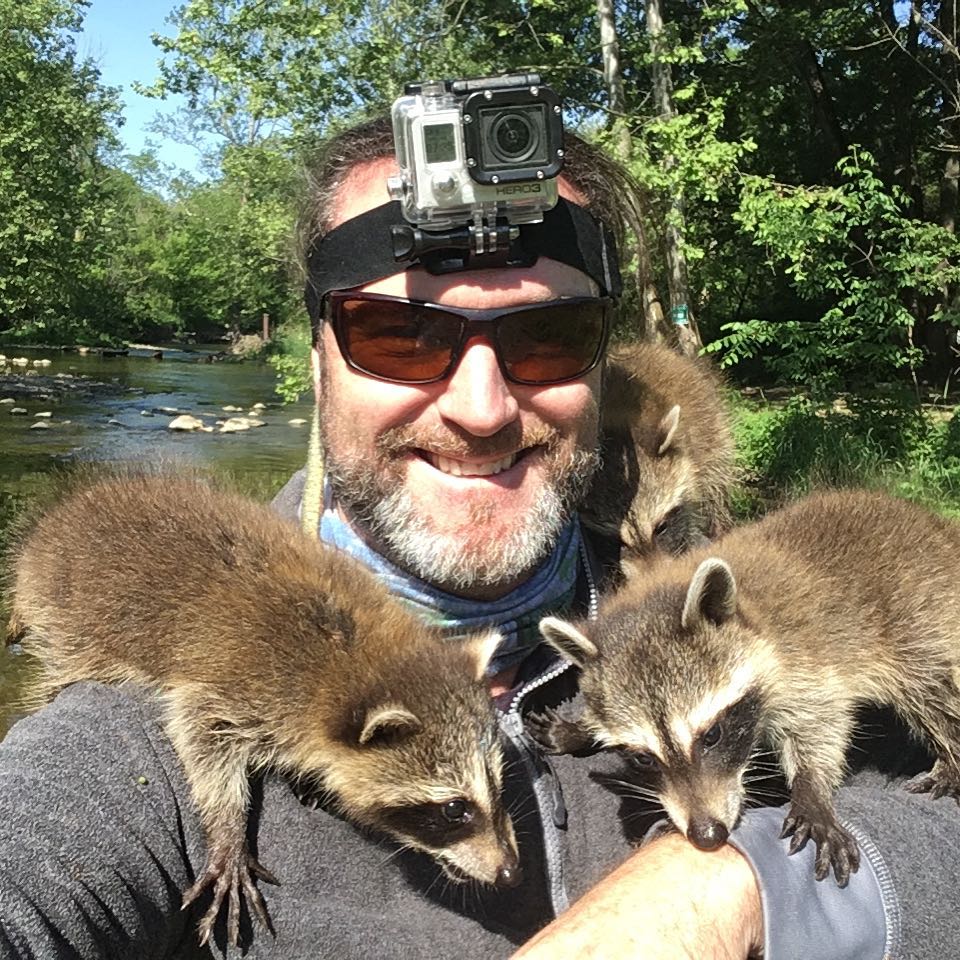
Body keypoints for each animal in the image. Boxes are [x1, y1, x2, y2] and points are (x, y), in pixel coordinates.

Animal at [7, 472, 519, 946]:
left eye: (498, 784)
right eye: (454, 809)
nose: (510, 871)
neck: (363, 658)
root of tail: (61, 517)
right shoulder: (244, 687)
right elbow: (201, 732)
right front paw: (227, 827)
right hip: (68, 622)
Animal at [537, 488, 960, 886]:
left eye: (712, 736)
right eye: (644, 759)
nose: (707, 835)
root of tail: (937, 527)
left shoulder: (802, 659)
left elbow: (821, 722)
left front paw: (811, 790)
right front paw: (578, 730)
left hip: (921, 615)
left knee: (933, 687)